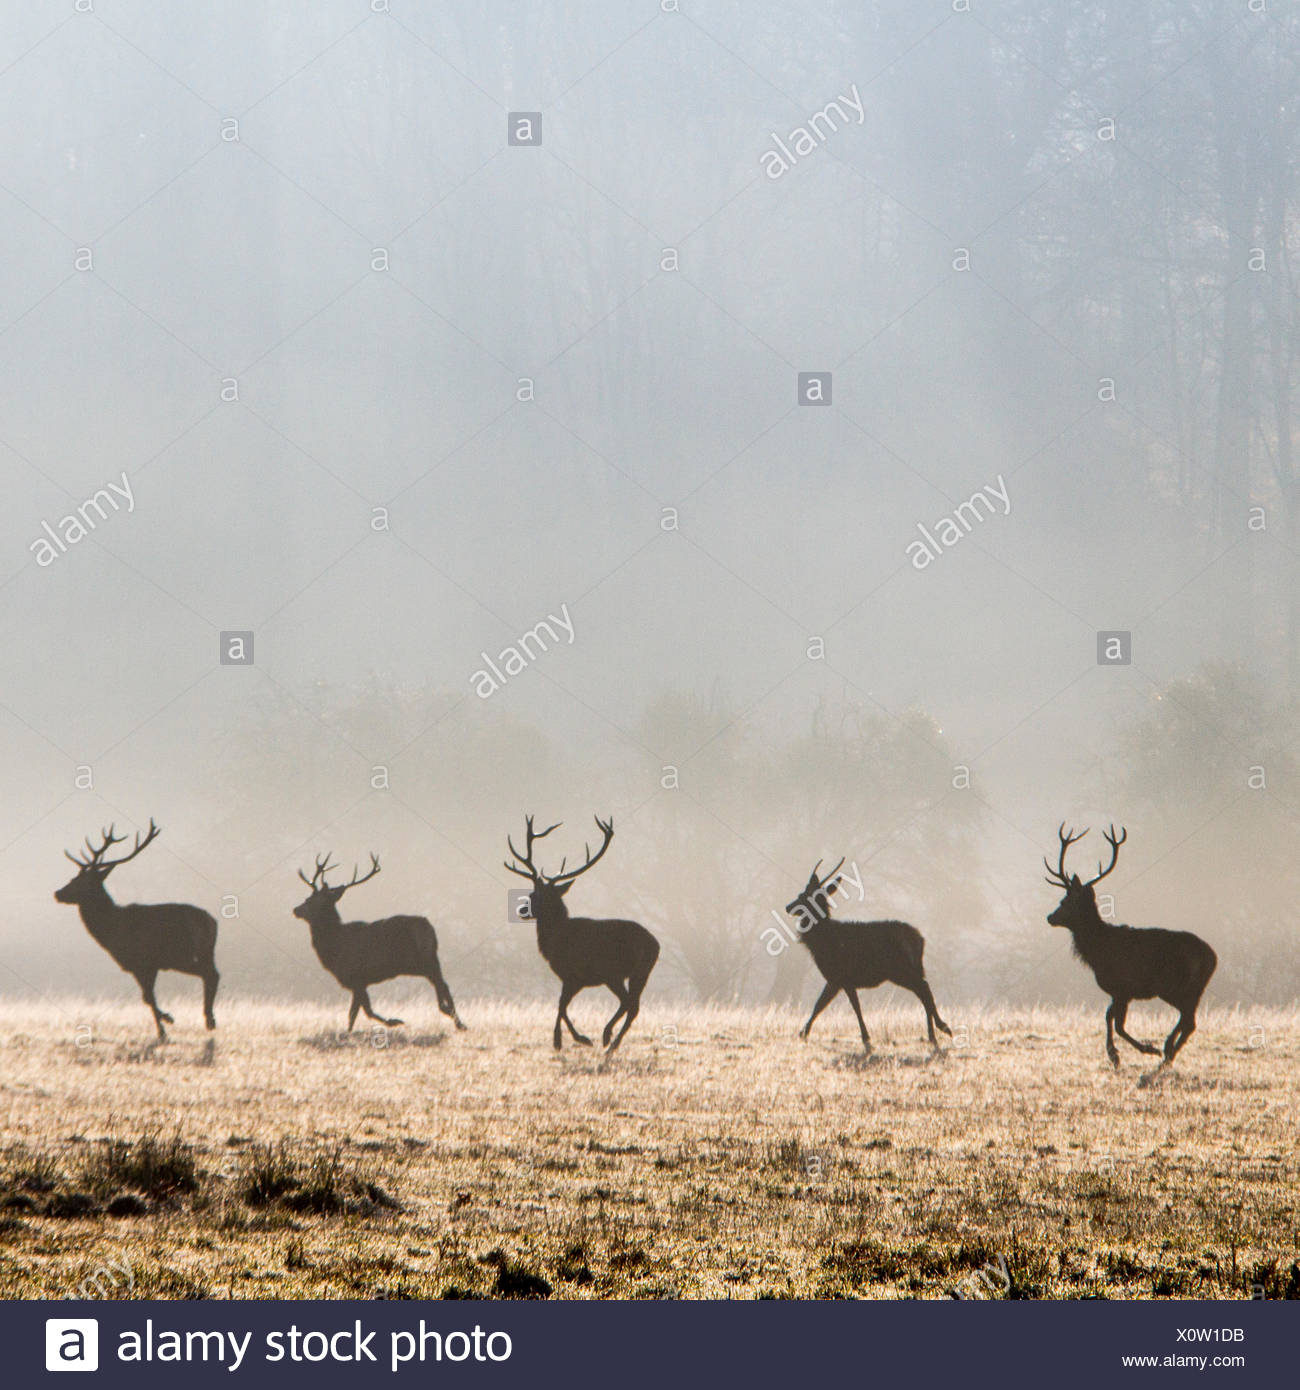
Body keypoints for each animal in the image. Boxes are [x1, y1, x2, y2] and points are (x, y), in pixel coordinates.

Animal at [53, 820, 219, 1041]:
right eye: (74, 877)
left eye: (82, 881)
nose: (58, 893)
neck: (112, 931)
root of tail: (211, 922)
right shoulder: (140, 967)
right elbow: (147, 998)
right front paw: (164, 1026)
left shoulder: (144, 962)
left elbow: (147, 998)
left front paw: (166, 1024)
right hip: (205, 952)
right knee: (212, 974)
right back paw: (209, 1019)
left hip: (182, 955)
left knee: (210, 975)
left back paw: (209, 1019)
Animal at [293, 853, 466, 1033]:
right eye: (308, 897)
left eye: (312, 900)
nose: (296, 910)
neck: (334, 948)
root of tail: (428, 927)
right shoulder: (358, 982)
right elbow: (354, 1014)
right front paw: (351, 1032)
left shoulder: (357, 976)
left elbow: (363, 1012)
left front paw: (395, 1021)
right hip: (430, 958)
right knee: (443, 983)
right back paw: (455, 1018)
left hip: (421, 961)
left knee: (442, 984)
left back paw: (453, 1017)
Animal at [504, 815, 659, 1053]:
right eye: (531, 893)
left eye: (543, 896)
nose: (521, 910)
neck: (556, 942)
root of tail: (655, 944)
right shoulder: (575, 979)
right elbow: (562, 1005)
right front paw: (571, 1038)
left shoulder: (573, 975)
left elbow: (561, 1005)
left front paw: (566, 1039)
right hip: (639, 973)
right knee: (633, 1005)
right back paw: (611, 1041)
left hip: (614, 972)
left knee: (629, 1002)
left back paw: (607, 1037)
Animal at [785, 859, 951, 1054]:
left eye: (804, 895)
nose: (788, 907)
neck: (822, 943)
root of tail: (921, 939)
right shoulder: (837, 980)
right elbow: (822, 1004)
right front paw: (803, 1032)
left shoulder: (842, 977)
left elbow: (844, 1006)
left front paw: (865, 1037)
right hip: (909, 970)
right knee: (923, 990)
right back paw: (933, 1034)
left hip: (901, 970)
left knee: (924, 989)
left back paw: (942, 1028)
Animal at [1044, 823, 1217, 1067]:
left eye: (1065, 901)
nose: (1050, 917)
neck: (1097, 952)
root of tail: (1212, 957)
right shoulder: (1119, 992)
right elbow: (1109, 1017)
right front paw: (1115, 1054)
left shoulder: (1122, 988)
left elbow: (1117, 1024)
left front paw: (1135, 1051)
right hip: (1195, 988)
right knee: (1189, 1020)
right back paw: (1169, 1053)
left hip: (1173, 986)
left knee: (1188, 1019)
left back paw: (1166, 1050)